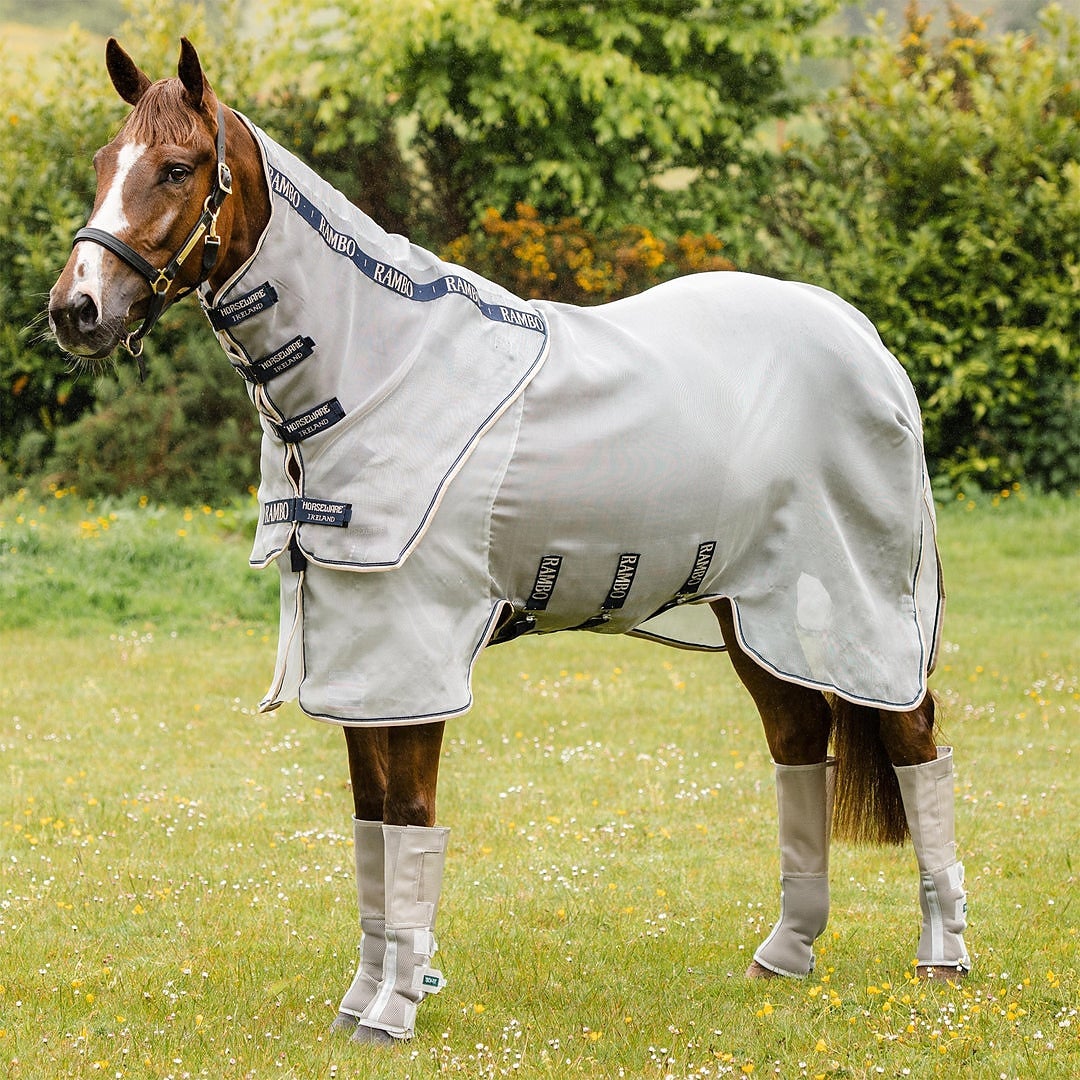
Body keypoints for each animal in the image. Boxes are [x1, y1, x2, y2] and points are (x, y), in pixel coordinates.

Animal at [48, 39, 970, 1045]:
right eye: (103, 163)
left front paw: (394, 1012)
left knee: (915, 741)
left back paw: (942, 959)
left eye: (177, 169)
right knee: (801, 741)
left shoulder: (411, 651)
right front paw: (360, 1002)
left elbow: (410, 819)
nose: (76, 310)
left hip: (860, 602)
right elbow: (372, 828)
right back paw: (786, 955)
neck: (378, 372)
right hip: (753, 611)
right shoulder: (358, 656)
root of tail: (863, 338)